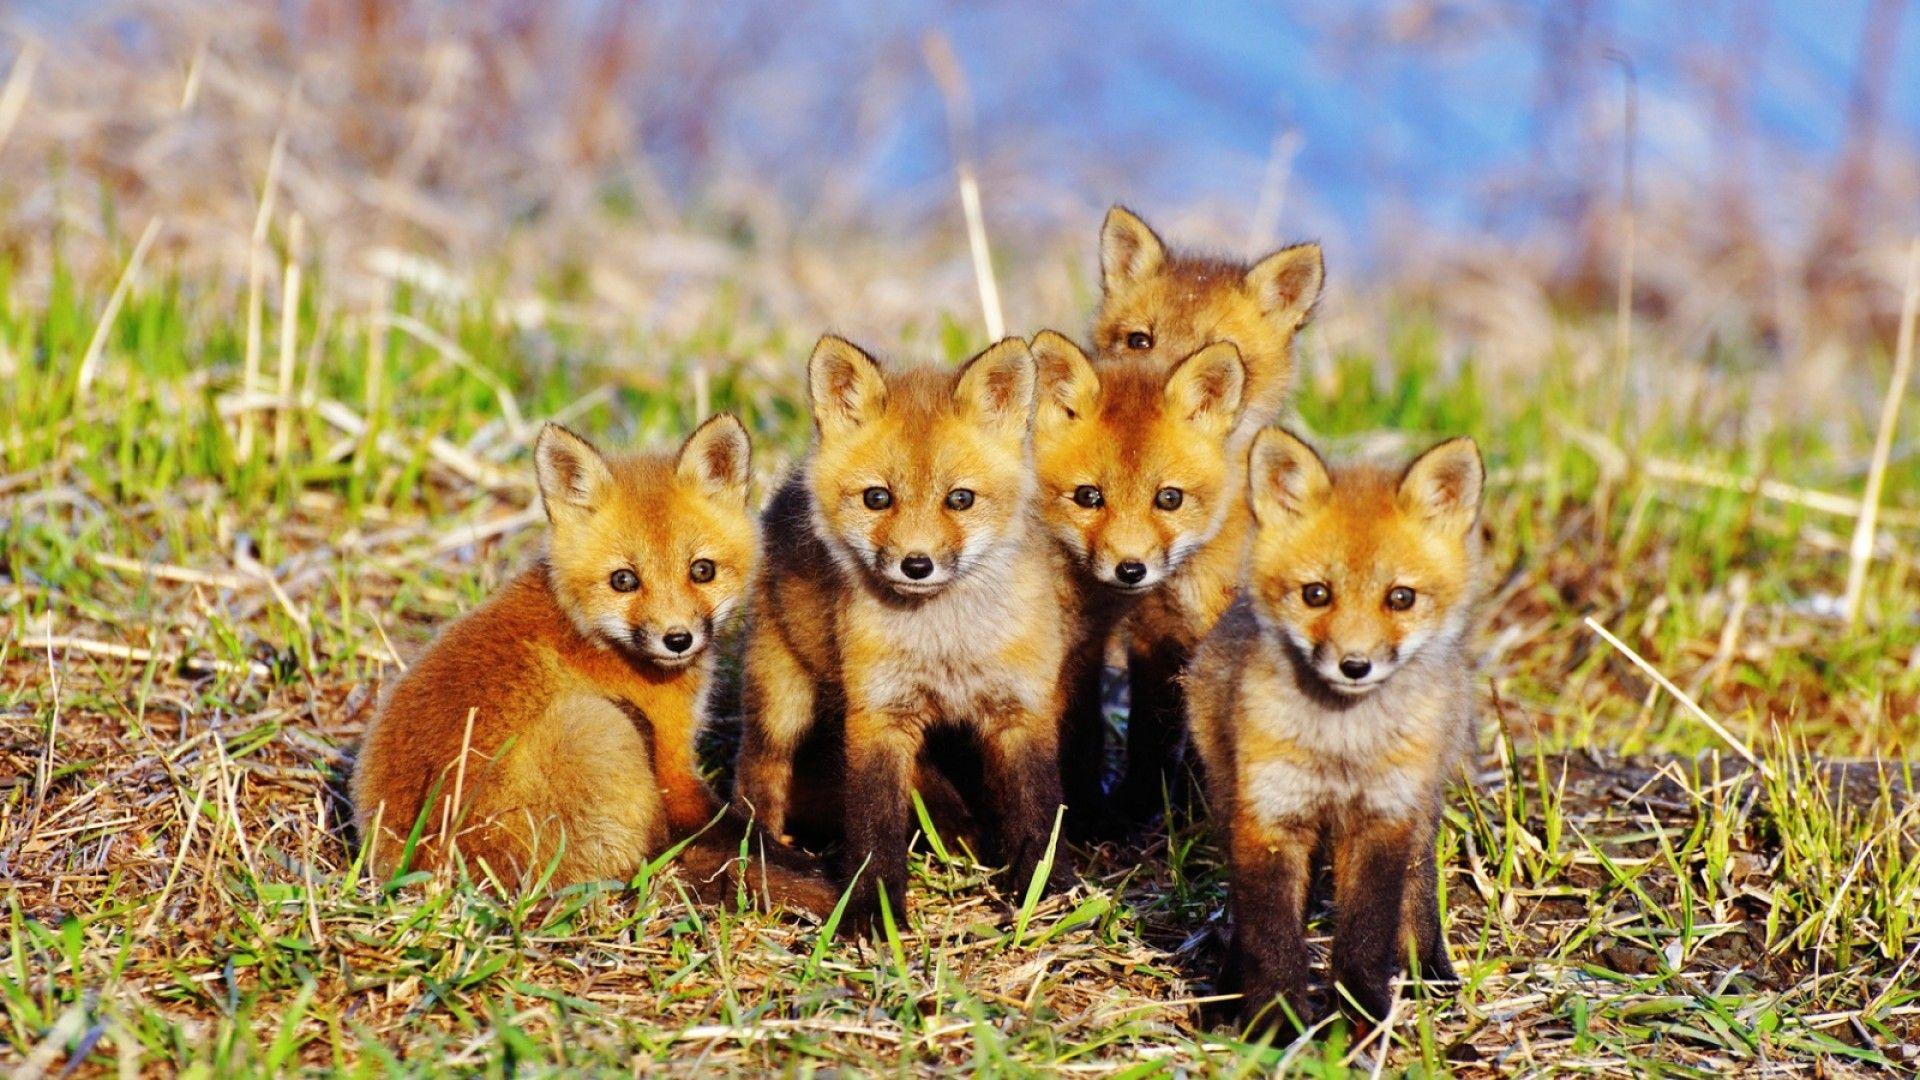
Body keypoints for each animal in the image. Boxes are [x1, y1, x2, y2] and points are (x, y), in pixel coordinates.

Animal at [351, 415, 837, 915]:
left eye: (702, 570)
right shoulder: (673, 767)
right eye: (623, 580)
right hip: (601, 724)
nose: (678, 639)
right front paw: (822, 870)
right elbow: (743, 831)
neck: (593, 634)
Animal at [732, 335, 1071, 932]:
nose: (917, 565)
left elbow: (1037, 809)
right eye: (877, 498)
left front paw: (1042, 892)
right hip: (783, 698)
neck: (945, 645)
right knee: (756, 770)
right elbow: (875, 827)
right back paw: (766, 851)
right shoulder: (877, 715)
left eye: (960, 499)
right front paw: (874, 912)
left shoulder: (1022, 708)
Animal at [1184, 428, 1485, 1030]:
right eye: (1316, 594)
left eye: (1400, 598)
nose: (1354, 665)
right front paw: (1275, 1020)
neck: (1341, 747)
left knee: (1419, 886)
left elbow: (1366, 933)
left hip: (1421, 806)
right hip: (1229, 794)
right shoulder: (1268, 816)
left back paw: (1429, 966)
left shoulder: (1383, 821)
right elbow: (1271, 934)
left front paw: (1363, 1015)